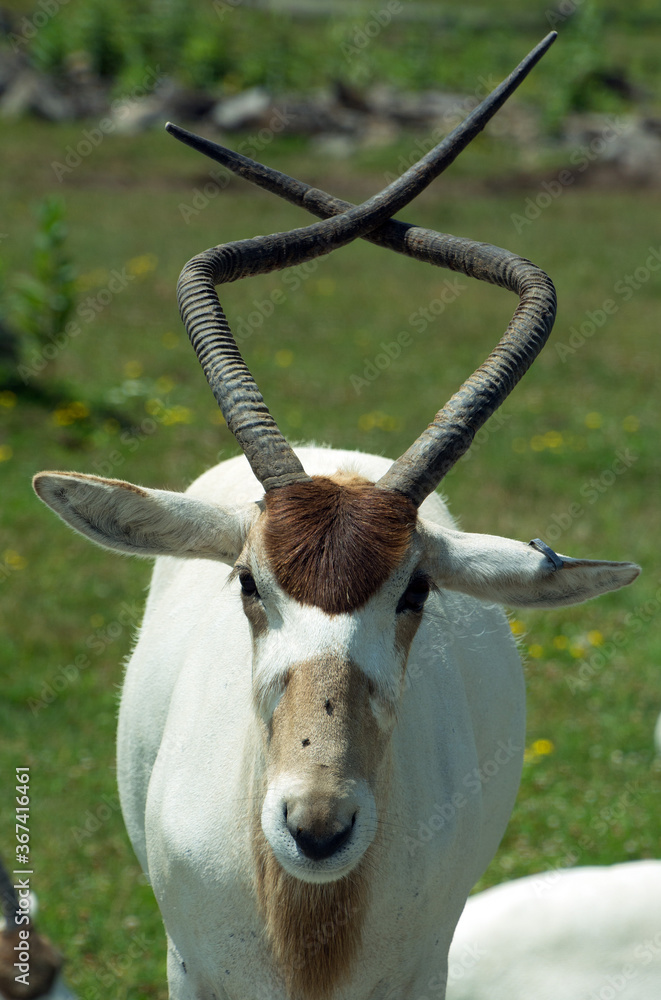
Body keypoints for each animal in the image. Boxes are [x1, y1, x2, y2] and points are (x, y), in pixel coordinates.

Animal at [33, 33, 640, 1000]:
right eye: (250, 584)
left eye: (415, 592)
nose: (317, 826)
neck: (308, 931)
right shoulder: (185, 964)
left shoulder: (425, 968)